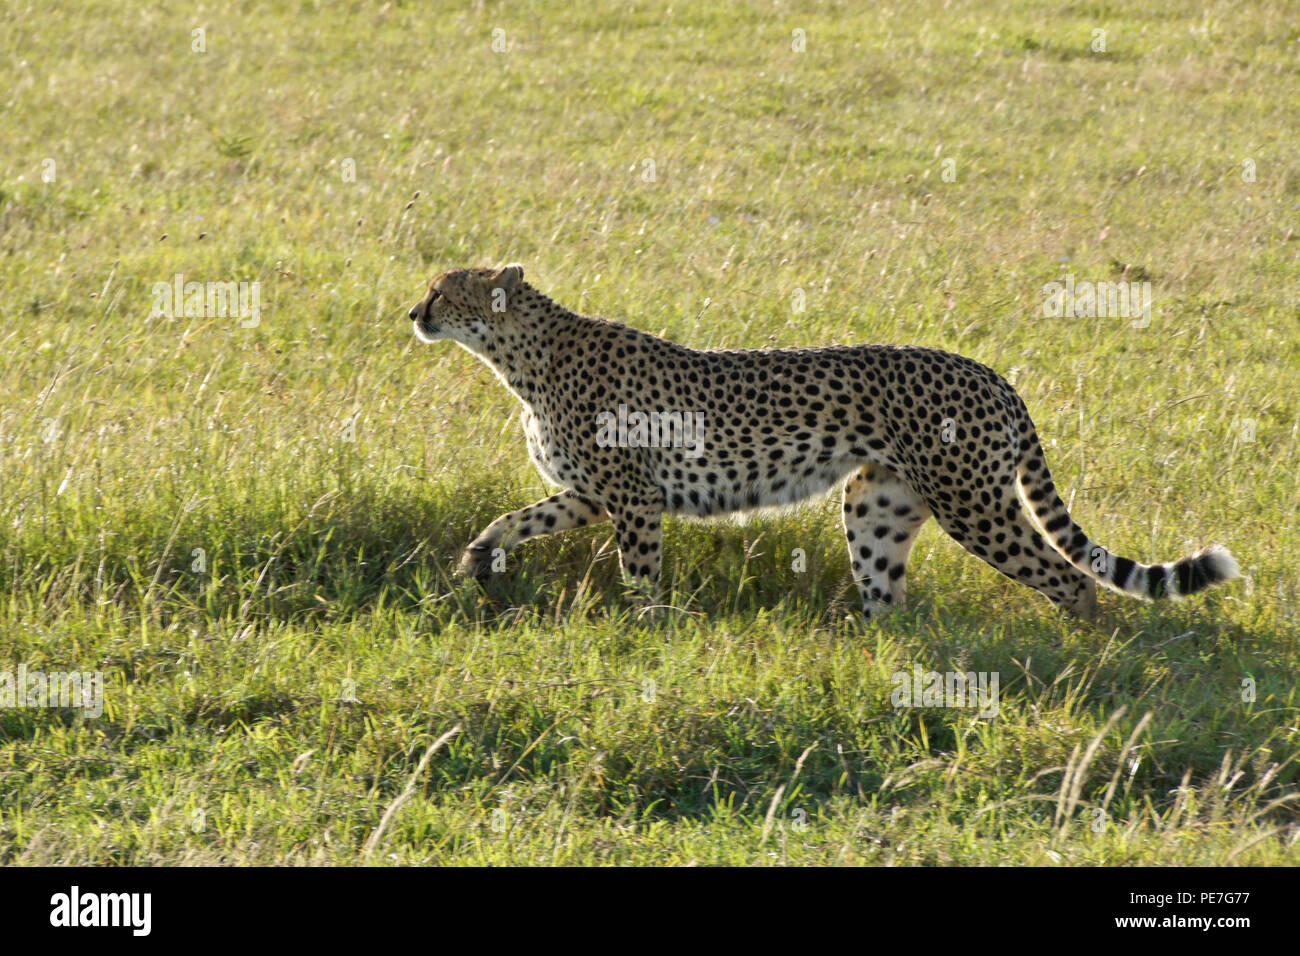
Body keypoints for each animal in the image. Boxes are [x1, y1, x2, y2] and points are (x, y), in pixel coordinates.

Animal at [406, 264, 1238, 619]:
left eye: (444, 290)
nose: (413, 313)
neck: (523, 357)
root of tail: (988, 372)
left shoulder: (634, 500)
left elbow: (640, 576)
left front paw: (648, 632)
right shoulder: (588, 493)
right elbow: (516, 518)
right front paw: (476, 560)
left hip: (973, 504)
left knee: (1069, 578)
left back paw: (1077, 656)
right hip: (876, 505)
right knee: (887, 595)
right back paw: (876, 655)